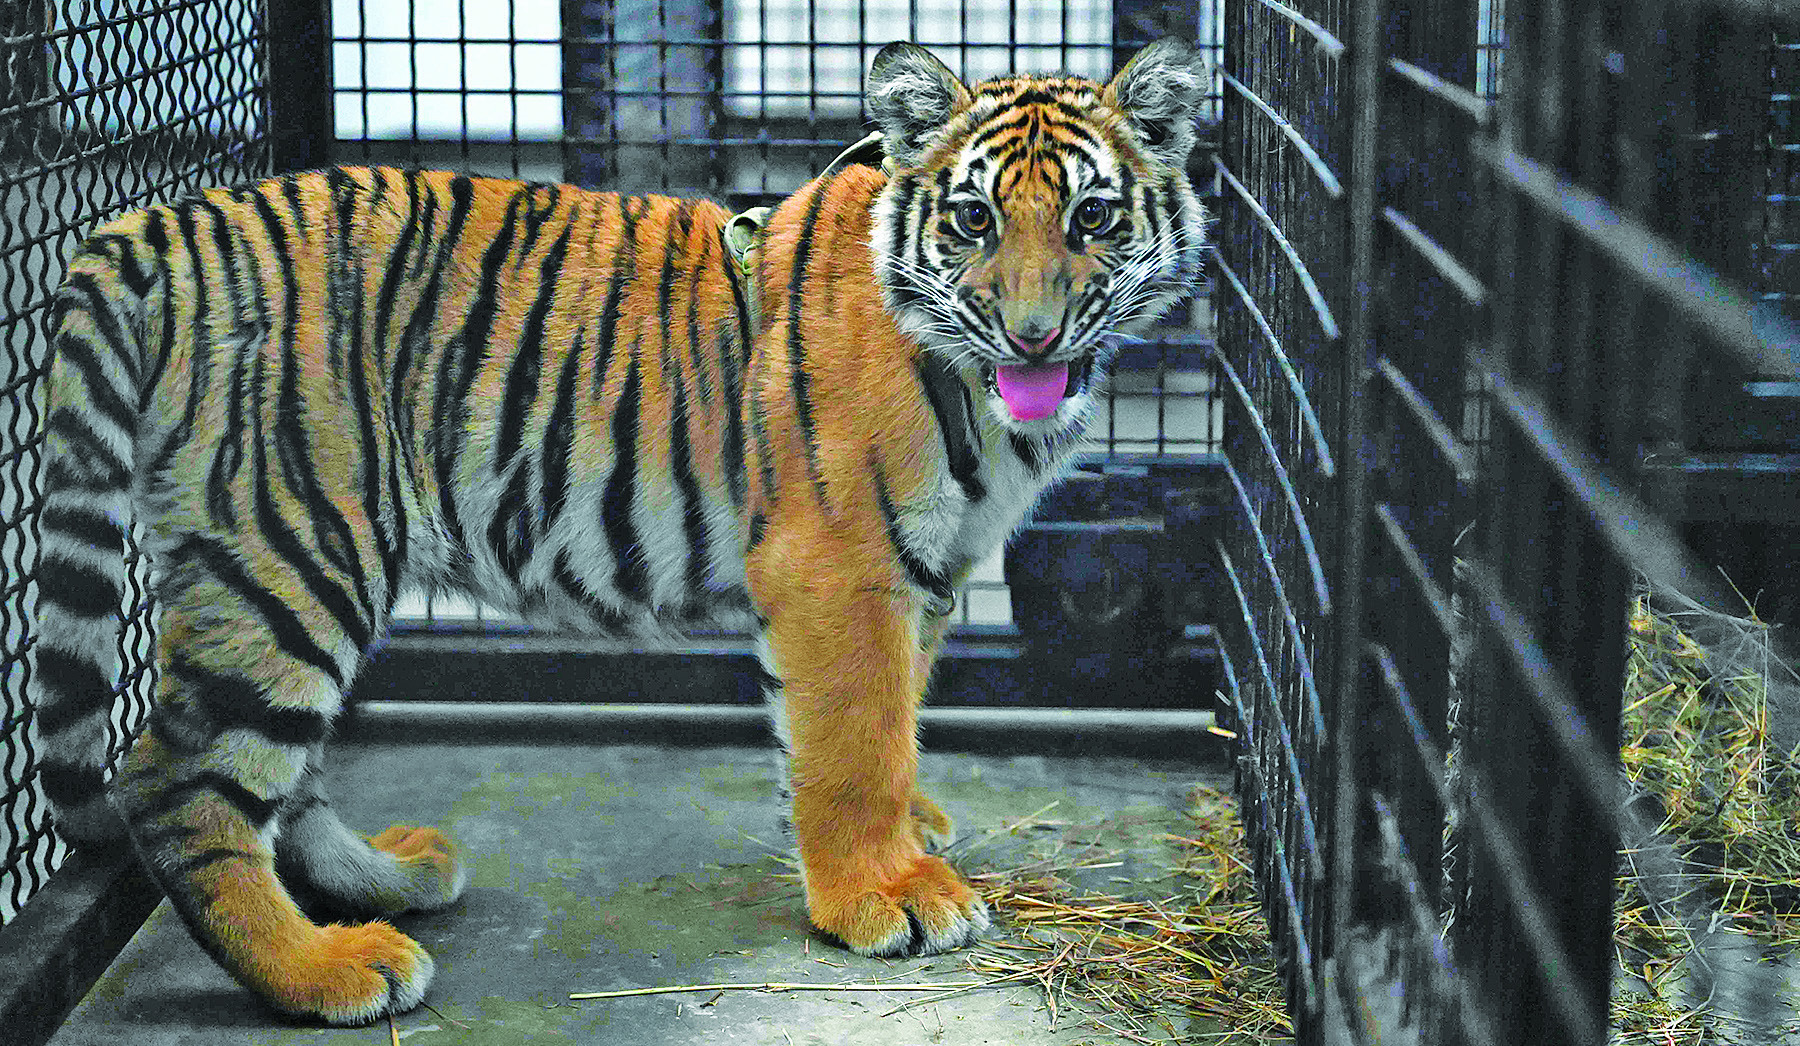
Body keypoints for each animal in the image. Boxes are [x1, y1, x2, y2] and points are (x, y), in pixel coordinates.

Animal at [30, 38, 1208, 1023]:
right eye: (973, 220)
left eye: (1091, 219)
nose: (1034, 334)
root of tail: (162, 226)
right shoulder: (841, 566)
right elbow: (853, 740)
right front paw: (884, 896)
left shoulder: (928, 570)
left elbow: (901, 711)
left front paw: (909, 835)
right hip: (294, 552)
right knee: (176, 785)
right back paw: (326, 971)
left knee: (278, 777)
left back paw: (387, 881)